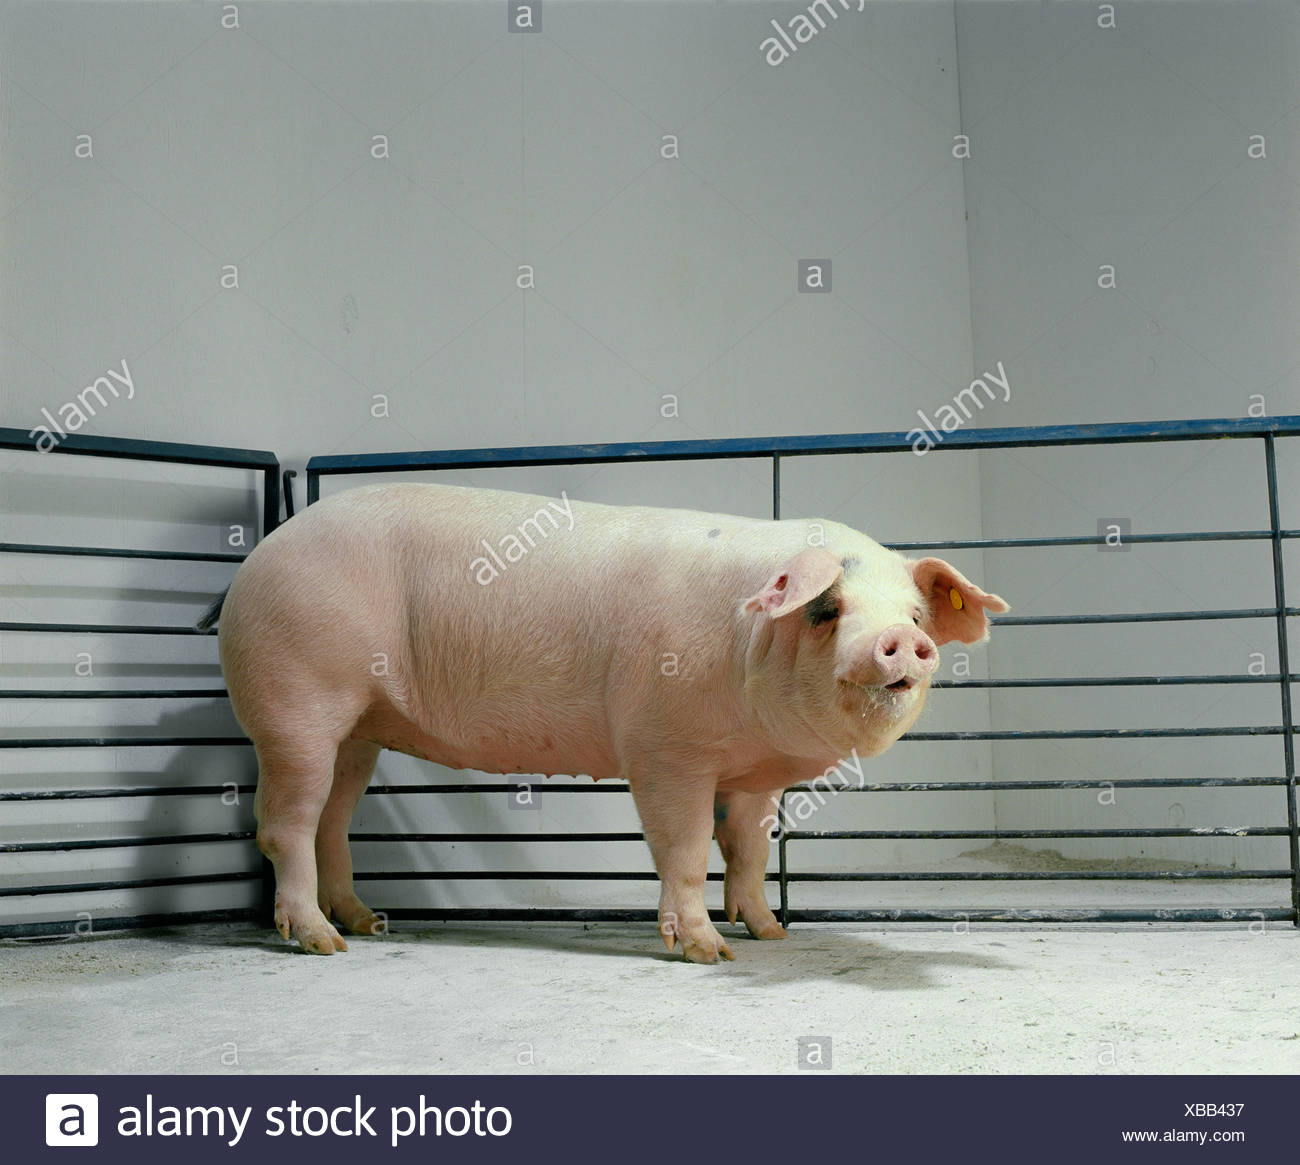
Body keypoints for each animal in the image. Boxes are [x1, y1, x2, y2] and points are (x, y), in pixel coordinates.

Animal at [205, 482, 1006, 963]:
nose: (900, 639)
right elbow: (685, 849)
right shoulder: (663, 749)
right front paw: (710, 952)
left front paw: (772, 932)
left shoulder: (752, 776)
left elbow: (747, 849)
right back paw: (320, 942)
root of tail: (255, 560)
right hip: (295, 702)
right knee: (284, 824)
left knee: (333, 821)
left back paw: (367, 924)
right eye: (827, 609)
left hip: (360, 731)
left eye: (913, 615)